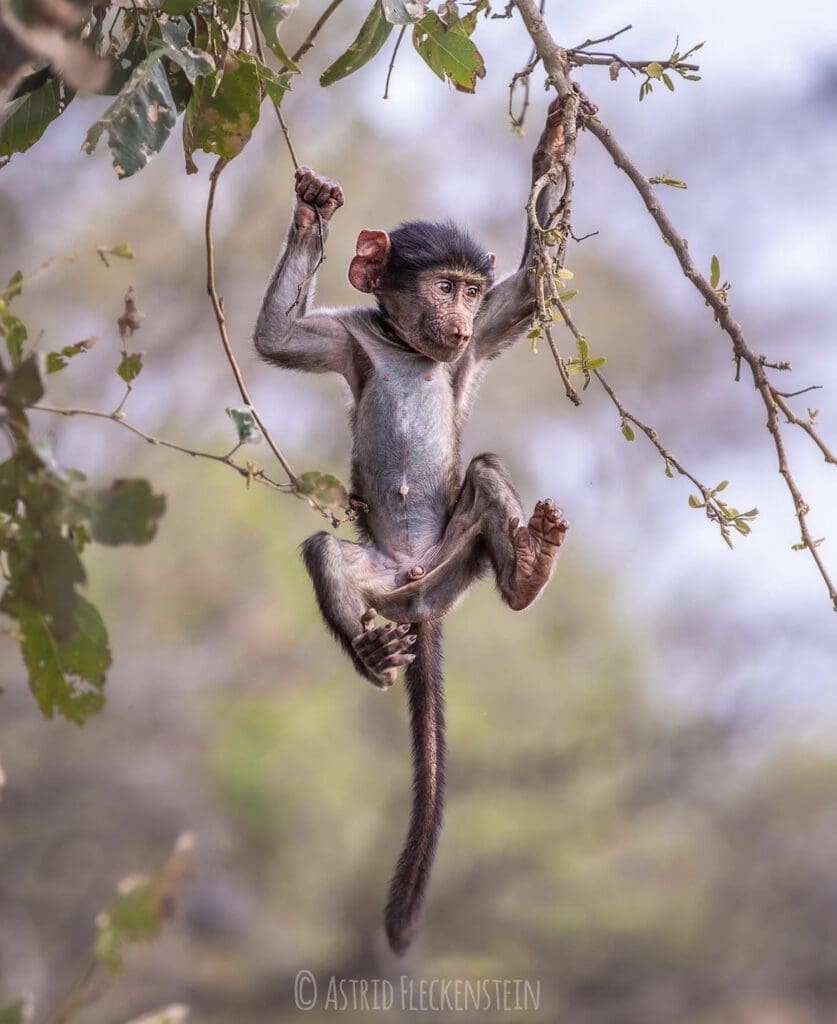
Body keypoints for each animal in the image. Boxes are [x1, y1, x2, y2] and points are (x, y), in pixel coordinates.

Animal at [253, 102, 569, 956]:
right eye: (441, 287)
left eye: (470, 291)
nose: (457, 318)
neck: (407, 345)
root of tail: (418, 584)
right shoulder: (349, 339)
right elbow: (274, 339)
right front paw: (310, 212)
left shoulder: (478, 341)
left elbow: (532, 288)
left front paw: (556, 138)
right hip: (388, 584)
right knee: (329, 554)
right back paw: (369, 652)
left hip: (458, 565)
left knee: (485, 474)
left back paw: (525, 573)